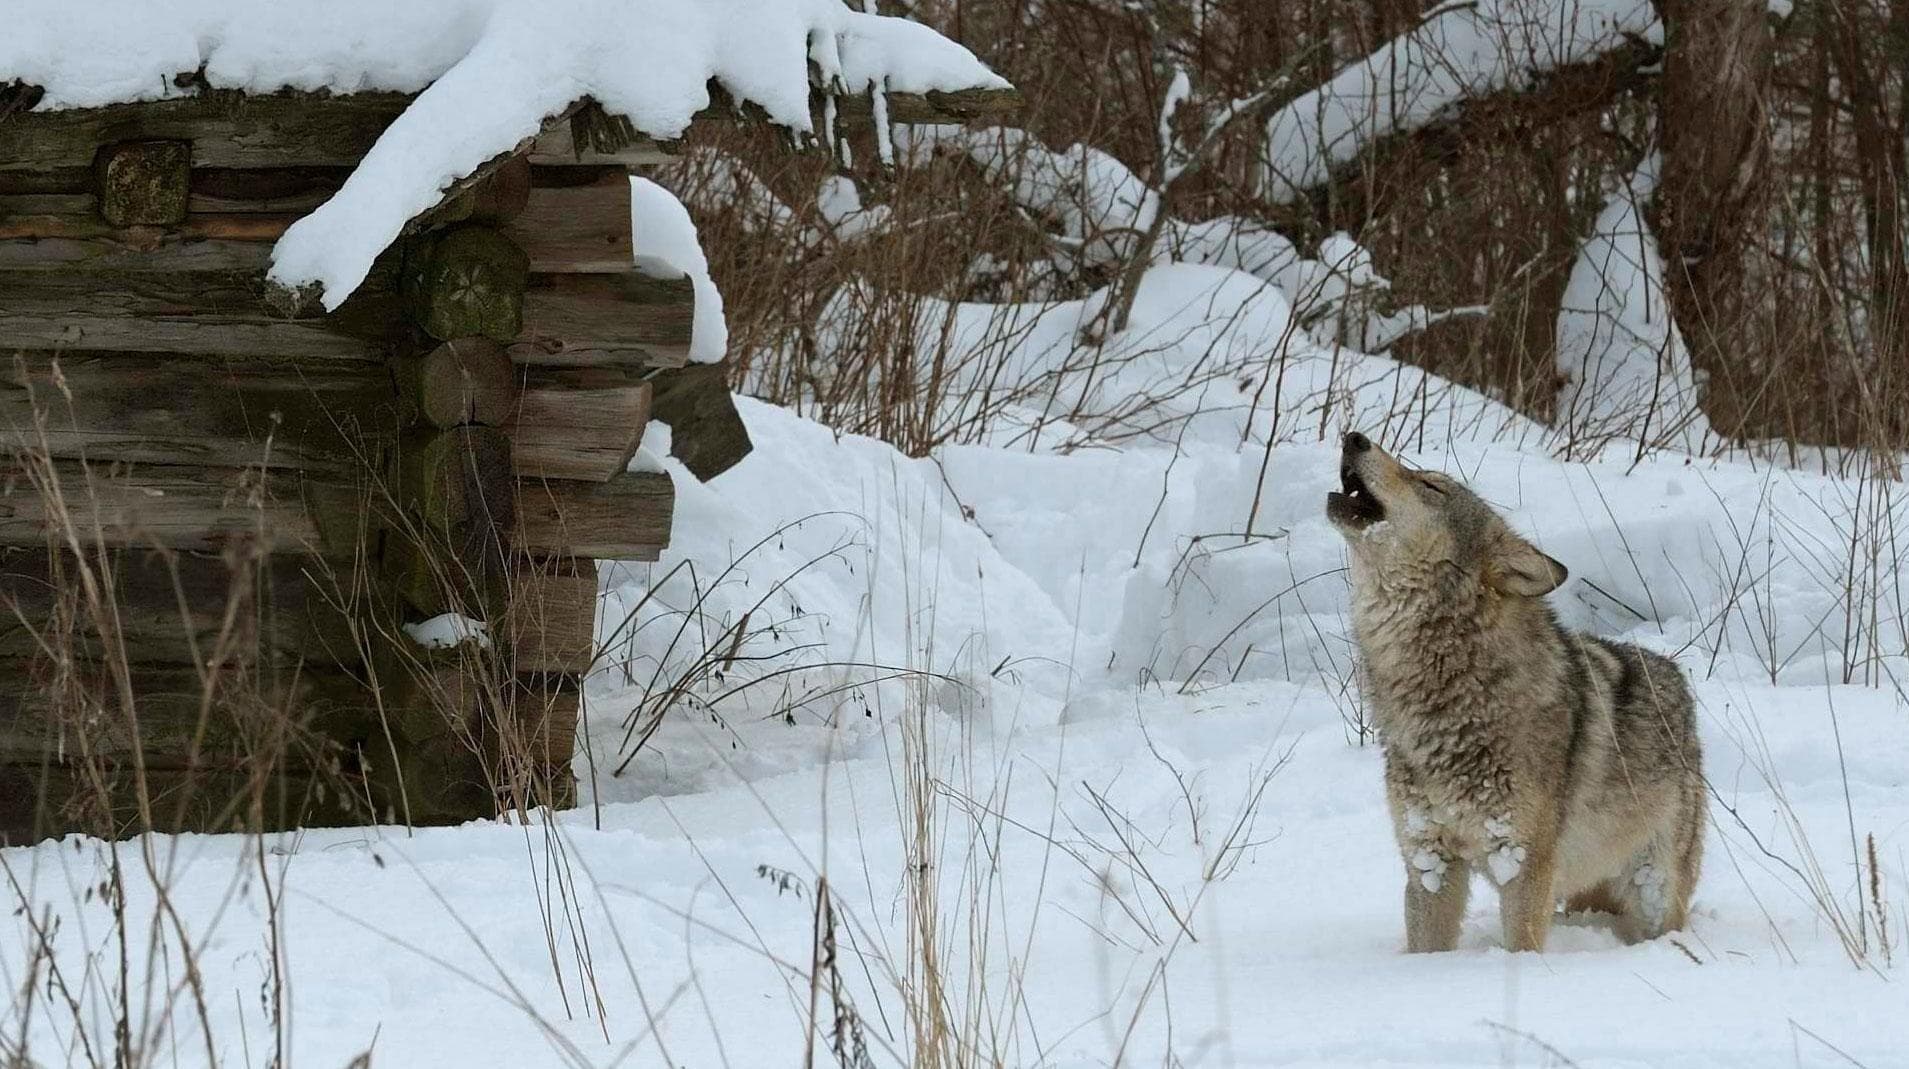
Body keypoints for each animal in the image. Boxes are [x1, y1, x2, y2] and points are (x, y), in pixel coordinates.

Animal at [1325, 431, 1704, 953]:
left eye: (1430, 486)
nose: (1353, 437)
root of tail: (1676, 677)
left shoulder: (1522, 863)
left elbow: (1522, 947)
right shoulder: (1429, 861)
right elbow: (1426, 946)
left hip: (1655, 886)